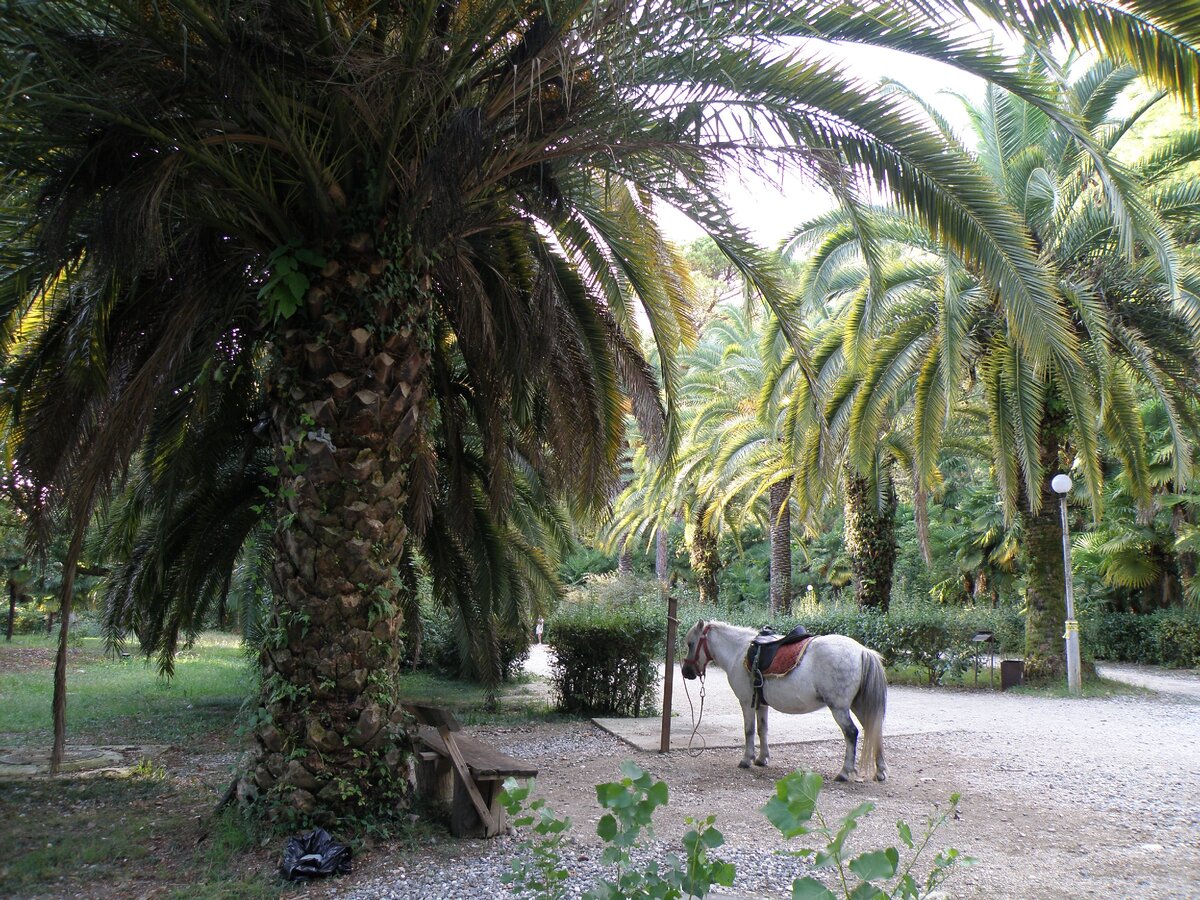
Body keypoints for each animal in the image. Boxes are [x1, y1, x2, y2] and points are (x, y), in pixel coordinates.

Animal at [681, 619, 888, 782]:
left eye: (691, 644)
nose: (686, 672)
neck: (738, 652)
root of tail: (862, 651)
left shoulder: (746, 702)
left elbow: (749, 731)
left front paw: (746, 760)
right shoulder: (760, 704)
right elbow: (762, 730)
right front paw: (762, 759)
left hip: (839, 708)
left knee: (851, 733)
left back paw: (844, 773)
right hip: (858, 705)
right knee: (874, 729)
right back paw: (880, 772)